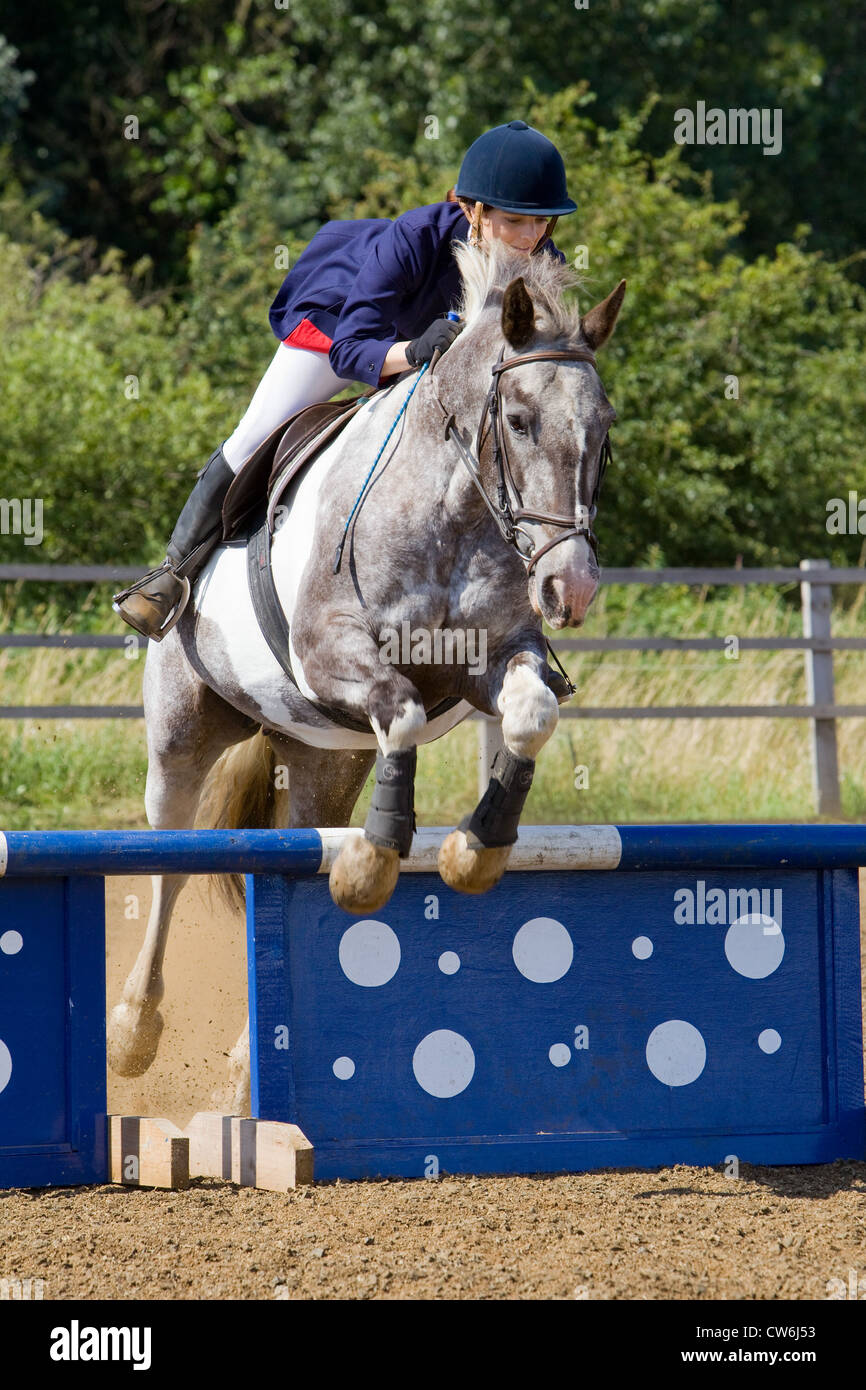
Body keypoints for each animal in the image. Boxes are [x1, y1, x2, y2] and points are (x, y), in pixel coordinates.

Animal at [107, 237, 625, 1109]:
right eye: (519, 421)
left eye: (604, 431)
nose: (572, 585)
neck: (455, 507)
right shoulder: (331, 652)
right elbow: (403, 709)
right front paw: (373, 866)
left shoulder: (490, 661)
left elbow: (528, 716)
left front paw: (473, 851)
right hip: (183, 732)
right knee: (172, 856)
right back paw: (134, 1035)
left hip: (327, 759)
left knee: (295, 841)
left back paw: (243, 1071)